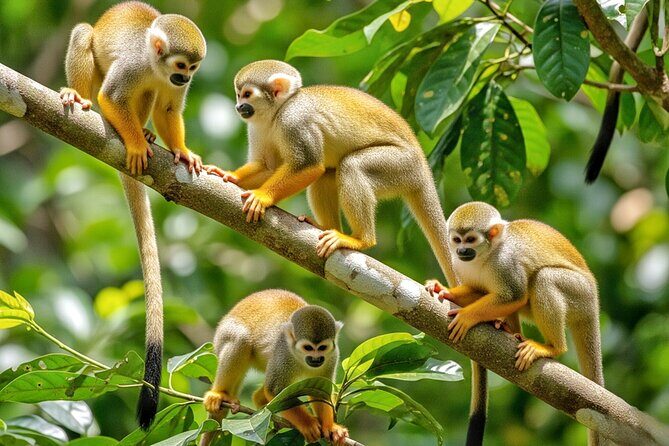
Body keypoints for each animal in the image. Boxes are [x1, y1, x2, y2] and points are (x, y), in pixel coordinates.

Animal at [59, 1, 206, 428]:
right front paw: (137, 144)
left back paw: (149, 133)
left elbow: (170, 106)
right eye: (180, 63)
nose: (183, 76)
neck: (156, 66)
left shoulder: (173, 86)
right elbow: (112, 96)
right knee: (85, 38)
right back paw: (89, 103)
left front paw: (181, 150)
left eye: (192, 69)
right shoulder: (134, 66)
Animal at [199, 289, 348, 446]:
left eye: (322, 348)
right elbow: (274, 390)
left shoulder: (332, 356)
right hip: (223, 336)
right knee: (241, 339)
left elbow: (321, 391)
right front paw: (308, 424)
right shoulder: (283, 353)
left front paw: (331, 427)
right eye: (308, 348)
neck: (300, 358)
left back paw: (259, 400)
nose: (316, 359)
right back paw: (219, 394)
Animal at [204, 59, 459, 287]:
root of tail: (423, 166)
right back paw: (327, 227)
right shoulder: (256, 126)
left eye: (247, 94)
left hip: (402, 166)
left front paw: (262, 197)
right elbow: (269, 167)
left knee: (350, 166)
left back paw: (360, 239)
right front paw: (231, 175)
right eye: (238, 95)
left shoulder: (295, 121)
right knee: (328, 173)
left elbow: (308, 166)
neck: (277, 113)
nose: (238, 107)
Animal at [427, 201, 604, 445]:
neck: (486, 255)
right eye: (456, 240)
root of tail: (594, 300)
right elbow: (479, 291)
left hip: (580, 293)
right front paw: (443, 290)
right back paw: (508, 329)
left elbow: (514, 295)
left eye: (470, 239)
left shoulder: (505, 264)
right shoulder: (459, 264)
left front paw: (467, 316)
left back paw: (552, 347)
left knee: (543, 279)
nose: (462, 251)